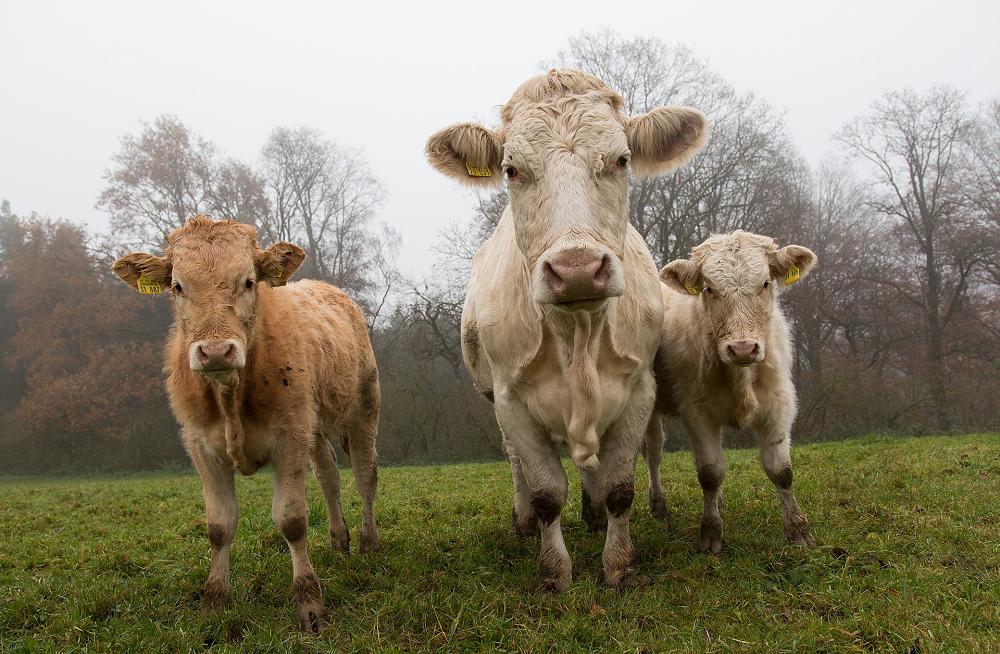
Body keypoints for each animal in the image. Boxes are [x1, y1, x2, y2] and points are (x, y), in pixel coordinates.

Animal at [112, 215, 380, 633]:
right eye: (178, 286)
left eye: (249, 281)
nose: (216, 351)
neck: (231, 398)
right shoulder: (202, 446)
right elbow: (219, 526)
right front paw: (214, 601)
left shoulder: (289, 437)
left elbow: (292, 520)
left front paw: (310, 605)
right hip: (314, 425)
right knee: (329, 477)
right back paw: (339, 540)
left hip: (363, 405)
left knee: (365, 474)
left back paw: (368, 542)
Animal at [425, 69, 708, 590]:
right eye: (512, 170)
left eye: (621, 159)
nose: (576, 270)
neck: (577, 334)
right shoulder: (511, 399)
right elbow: (546, 492)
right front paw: (555, 573)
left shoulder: (639, 389)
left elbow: (618, 486)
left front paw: (618, 565)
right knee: (515, 463)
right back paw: (522, 523)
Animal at [643, 230, 817, 555]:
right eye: (709, 288)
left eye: (765, 283)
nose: (742, 348)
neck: (741, 375)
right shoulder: (697, 412)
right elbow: (710, 473)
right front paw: (711, 534)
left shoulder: (779, 404)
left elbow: (781, 471)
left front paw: (799, 531)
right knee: (654, 453)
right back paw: (658, 503)